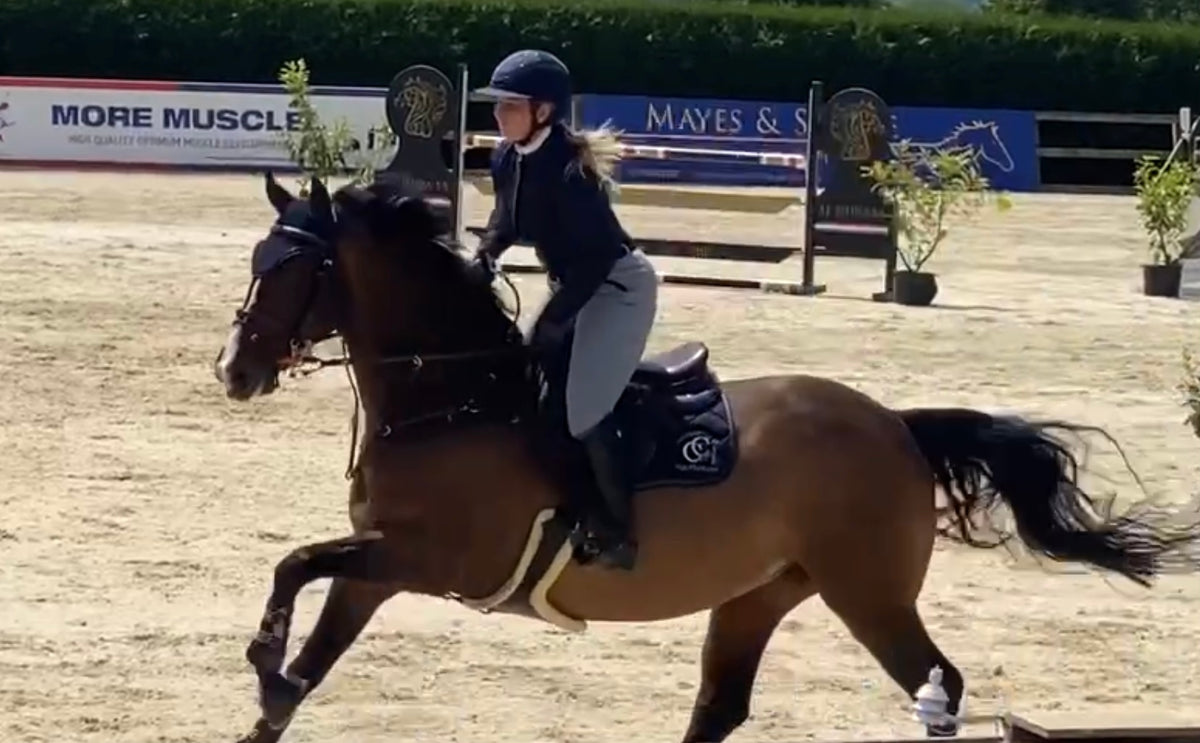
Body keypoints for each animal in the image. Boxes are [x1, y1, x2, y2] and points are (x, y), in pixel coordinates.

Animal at [212, 172, 1200, 743]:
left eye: (294, 270)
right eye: (256, 259)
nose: (236, 371)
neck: (450, 397)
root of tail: (895, 422)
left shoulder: (431, 560)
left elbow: (292, 563)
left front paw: (260, 656)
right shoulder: (376, 569)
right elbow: (304, 663)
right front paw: (271, 685)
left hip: (868, 591)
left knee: (939, 684)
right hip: (763, 590)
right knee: (723, 703)